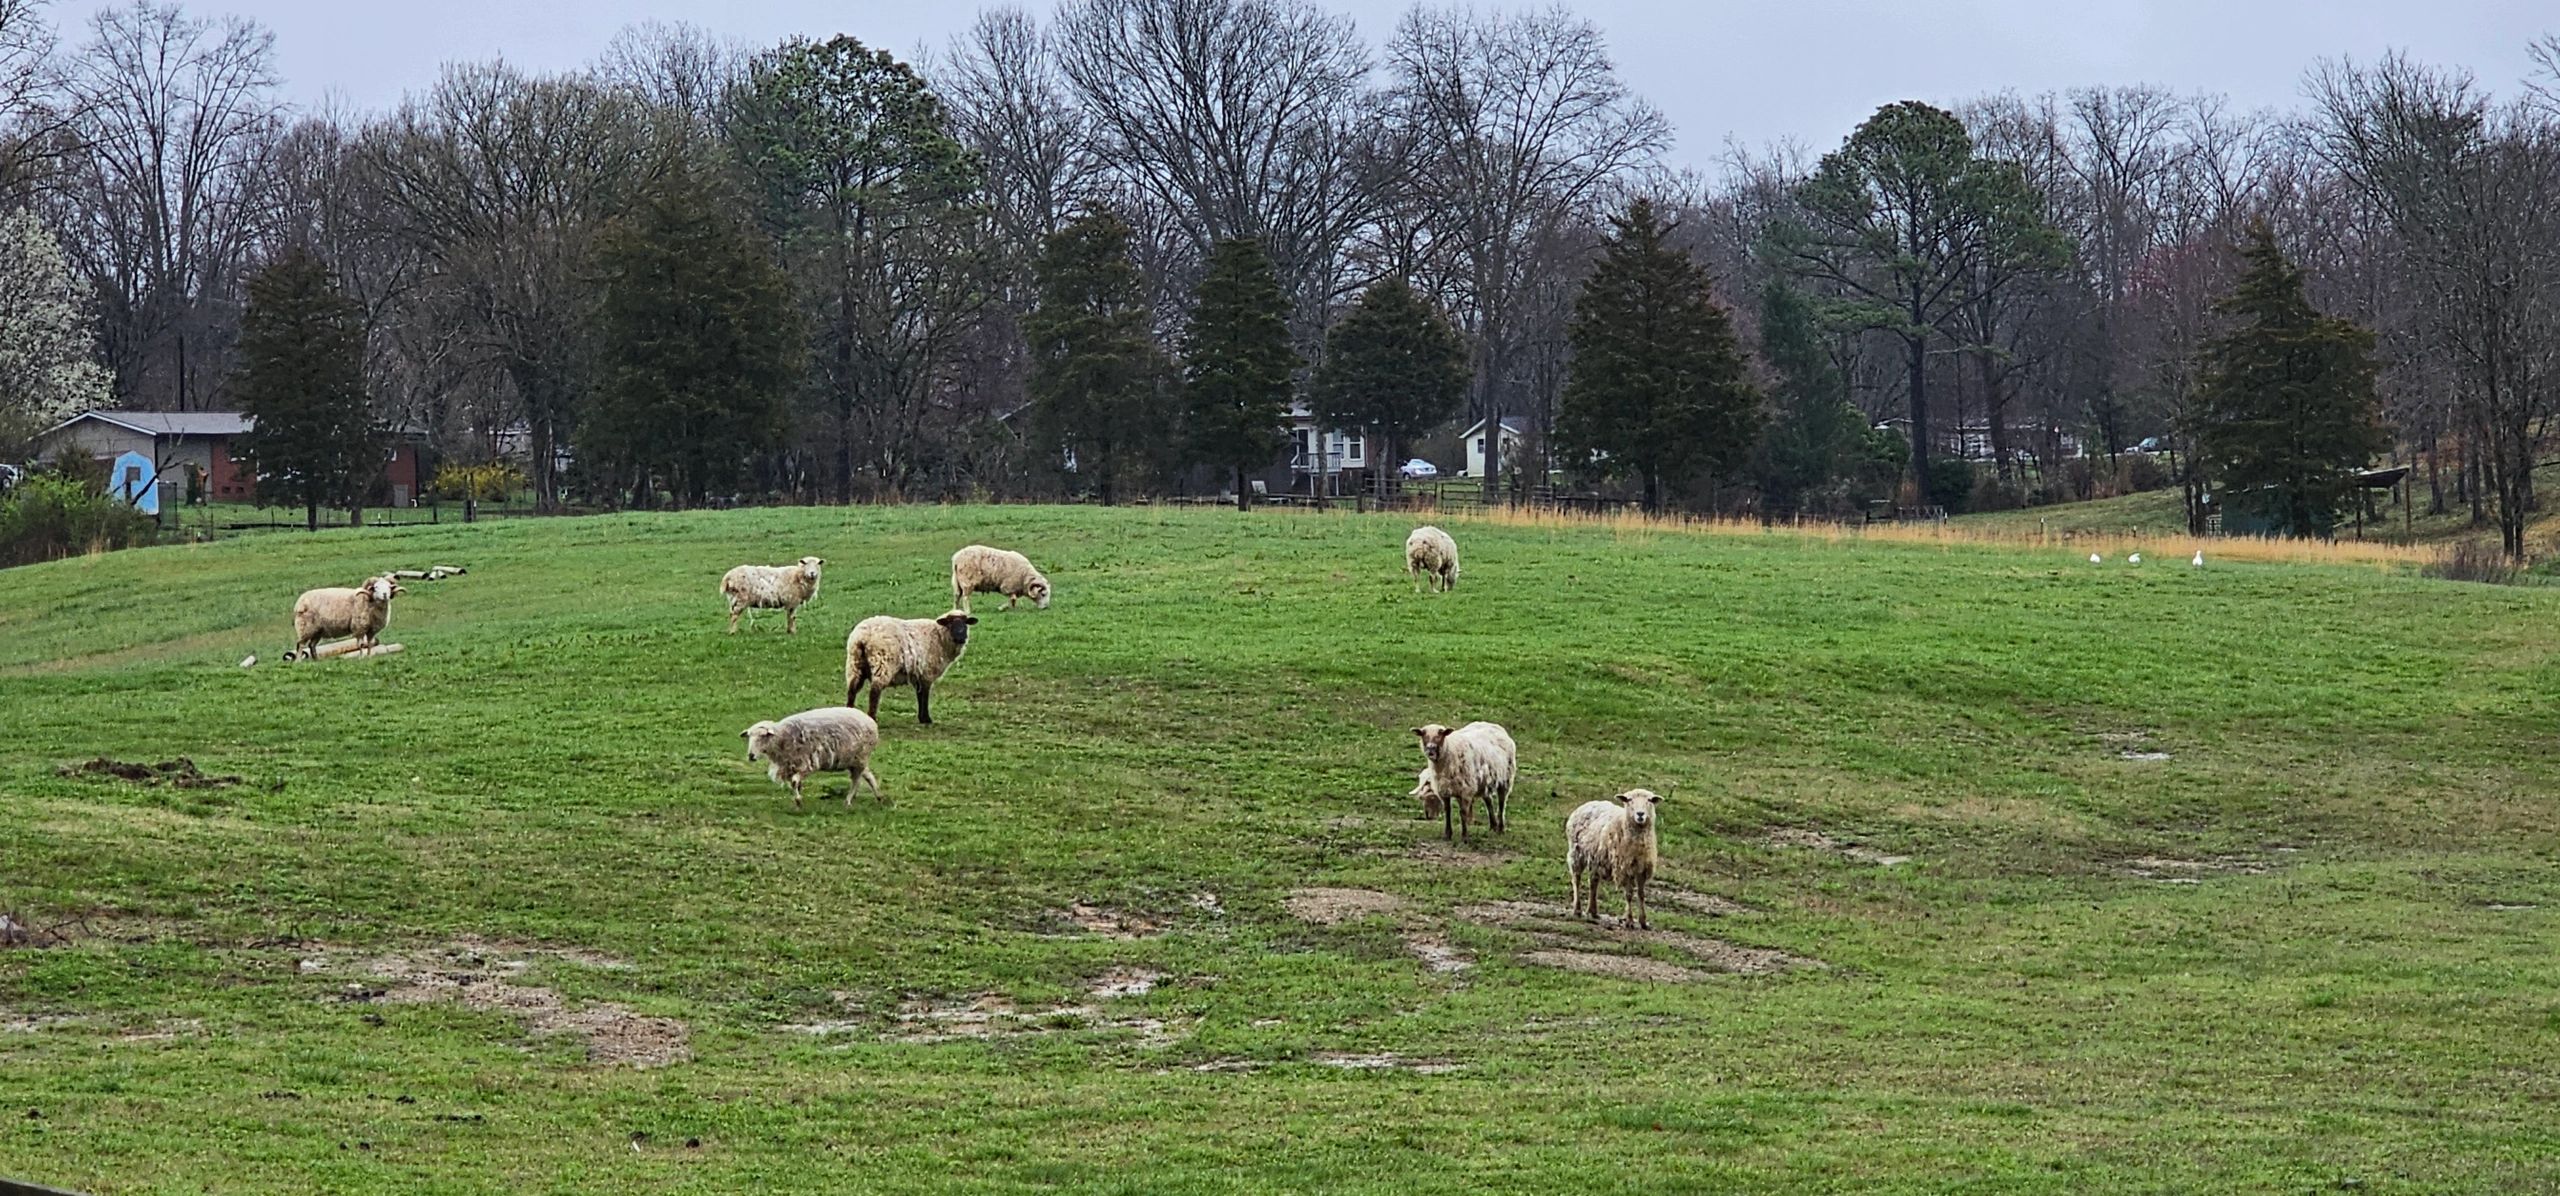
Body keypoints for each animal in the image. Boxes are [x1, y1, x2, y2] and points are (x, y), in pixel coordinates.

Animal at [742, 706, 882, 810]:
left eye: (762, 736)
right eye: (749, 736)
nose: (751, 756)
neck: (782, 737)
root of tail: (871, 721)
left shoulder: (806, 764)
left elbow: (794, 782)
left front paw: (798, 801)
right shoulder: (791, 764)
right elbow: (796, 785)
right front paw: (797, 803)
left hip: (860, 757)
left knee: (856, 781)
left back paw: (848, 801)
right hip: (855, 760)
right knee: (868, 776)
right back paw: (879, 797)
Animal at [845, 610, 978, 725]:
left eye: (965, 623)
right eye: (950, 623)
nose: (961, 638)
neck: (939, 636)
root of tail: (862, 637)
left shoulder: (918, 674)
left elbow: (919, 695)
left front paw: (922, 718)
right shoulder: (927, 672)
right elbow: (924, 695)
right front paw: (927, 719)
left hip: (855, 663)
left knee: (852, 690)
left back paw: (849, 713)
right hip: (882, 663)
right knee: (874, 692)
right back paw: (872, 718)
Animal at [1566, 788, 1663, 929]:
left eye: (1649, 800)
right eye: (1629, 800)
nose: (1640, 814)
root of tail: (1587, 804)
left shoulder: (1641, 868)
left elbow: (1641, 894)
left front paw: (1643, 921)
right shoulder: (1625, 868)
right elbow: (1629, 894)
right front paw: (1629, 920)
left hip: (1596, 858)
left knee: (1593, 882)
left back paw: (1593, 911)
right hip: (1576, 853)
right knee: (1576, 879)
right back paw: (1577, 910)